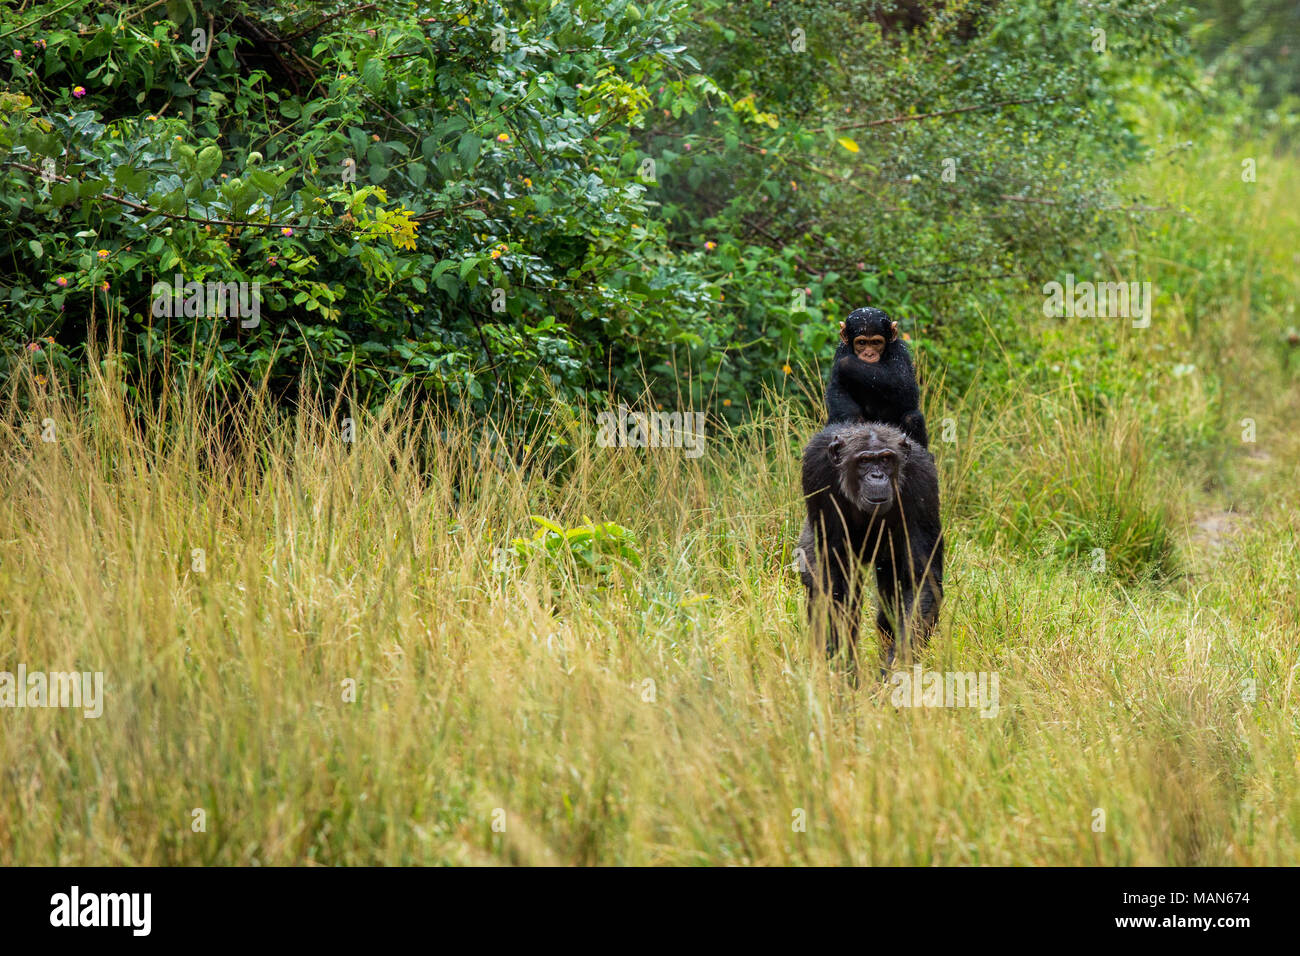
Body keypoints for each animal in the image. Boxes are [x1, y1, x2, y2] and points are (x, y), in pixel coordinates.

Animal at [795, 422, 943, 669]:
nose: (877, 475)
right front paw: (842, 666)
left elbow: (922, 580)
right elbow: (834, 576)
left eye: (886, 459)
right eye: (864, 461)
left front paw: (896, 666)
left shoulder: (923, 479)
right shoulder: (817, 468)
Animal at [824, 306, 929, 448]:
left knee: (912, 417)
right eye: (862, 342)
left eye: (876, 342)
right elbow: (837, 389)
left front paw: (845, 363)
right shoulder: (841, 350)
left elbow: (906, 388)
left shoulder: (898, 350)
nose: (869, 354)